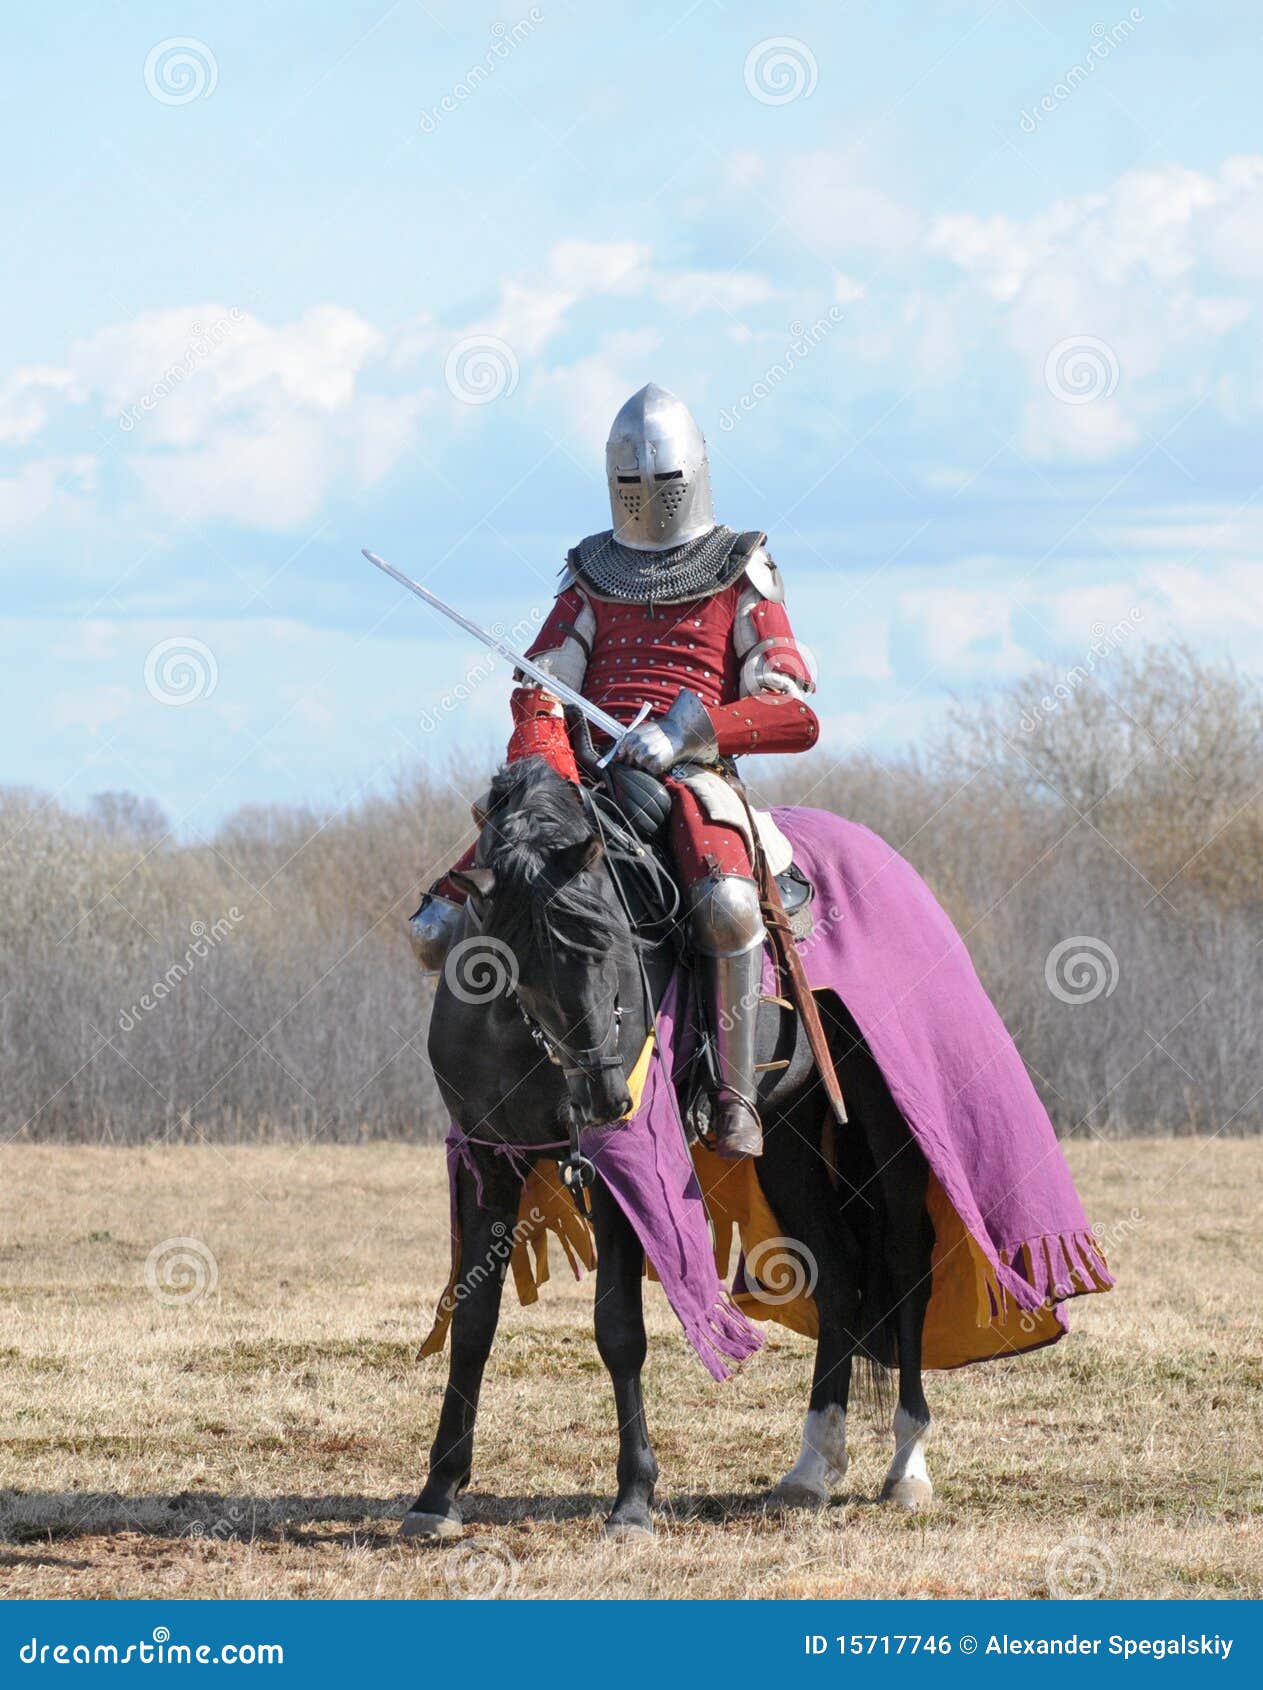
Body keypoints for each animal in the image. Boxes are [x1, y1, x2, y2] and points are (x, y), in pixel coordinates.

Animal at [403, 755, 936, 1541]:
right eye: (517, 964)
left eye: (609, 945)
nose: (605, 1097)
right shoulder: (489, 1161)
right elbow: (472, 1323)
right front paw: (437, 1494)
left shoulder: (619, 1169)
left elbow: (619, 1329)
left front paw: (632, 1499)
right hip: (785, 1140)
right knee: (837, 1270)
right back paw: (811, 1468)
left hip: (888, 1131)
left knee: (905, 1266)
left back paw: (906, 1464)